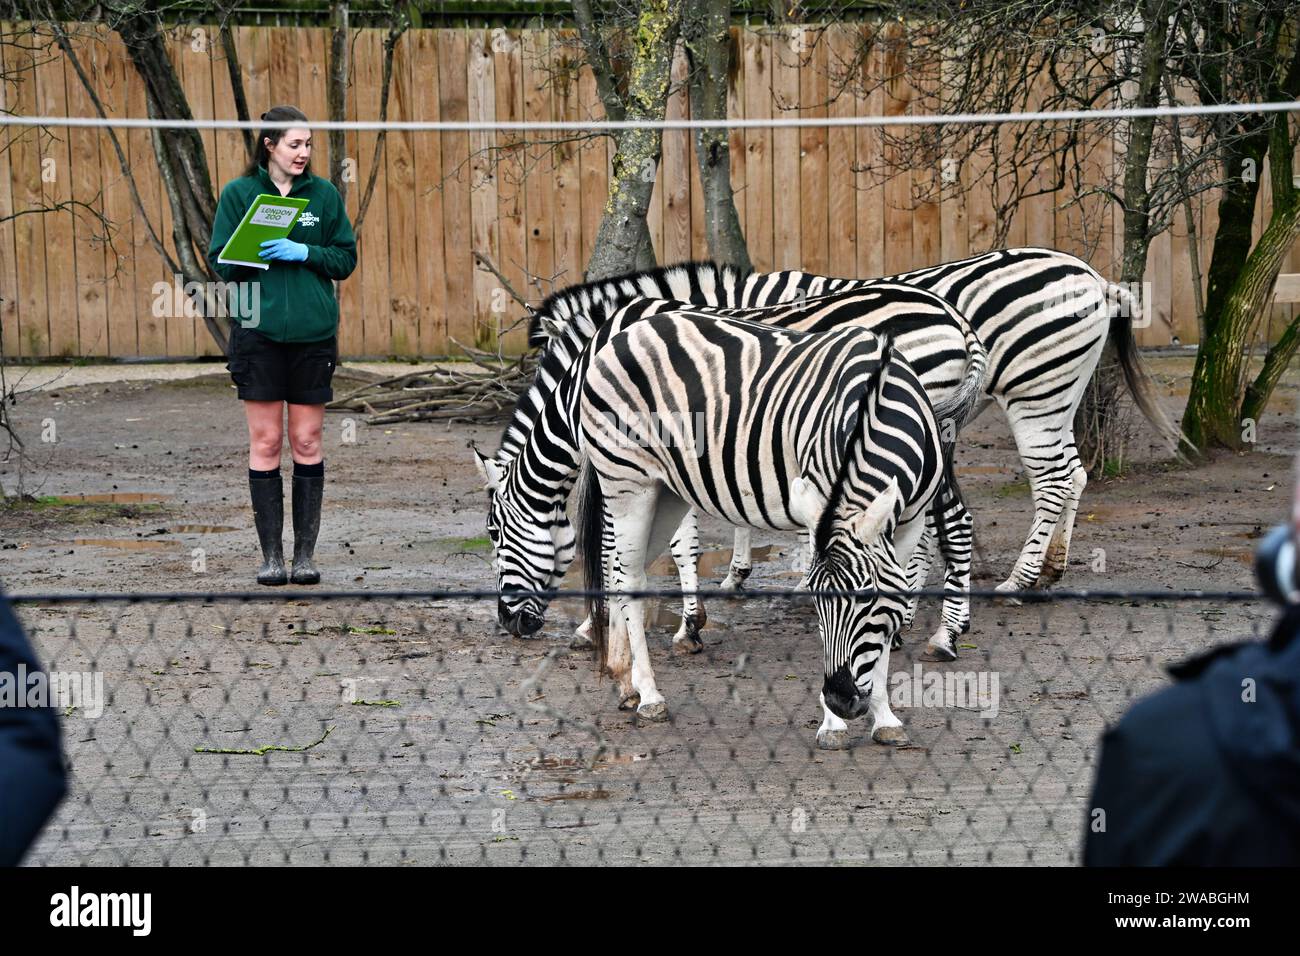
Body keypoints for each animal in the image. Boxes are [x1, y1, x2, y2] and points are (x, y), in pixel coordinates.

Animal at [476, 284, 987, 661]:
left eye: (495, 533)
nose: (507, 624)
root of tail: (953, 314)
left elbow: (628, 546)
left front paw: (615, 626)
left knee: (954, 524)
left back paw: (944, 636)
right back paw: (908, 625)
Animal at [524, 248, 1180, 594]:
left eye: (509, 519)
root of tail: (1095, 279)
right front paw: (745, 572)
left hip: (1033, 392)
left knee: (1052, 481)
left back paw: (1017, 582)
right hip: (1058, 394)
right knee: (1075, 474)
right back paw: (1052, 569)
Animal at [577, 316, 971, 747]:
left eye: (867, 599)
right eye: (817, 601)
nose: (840, 700)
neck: (876, 404)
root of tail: (628, 330)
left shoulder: (909, 522)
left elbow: (888, 618)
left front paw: (884, 717)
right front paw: (833, 726)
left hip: (667, 492)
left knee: (619, 570)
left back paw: (623, 681)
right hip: (627, 481)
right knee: (630, 577)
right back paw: (649, 695)